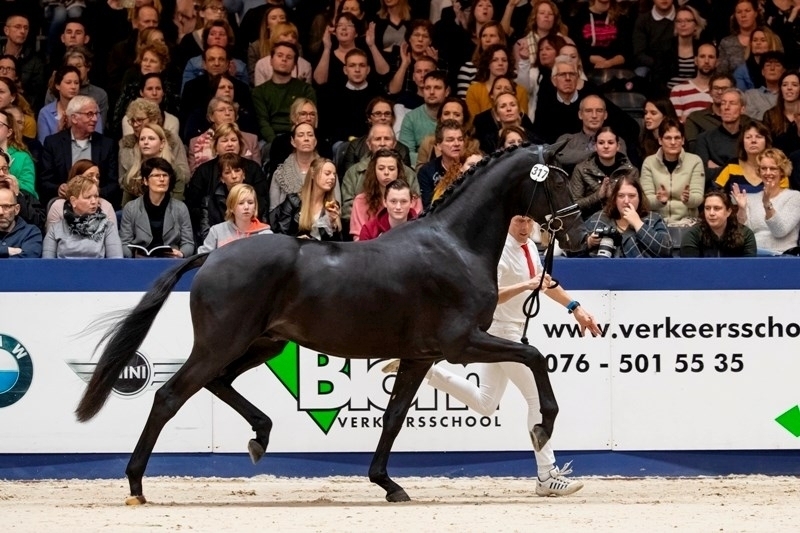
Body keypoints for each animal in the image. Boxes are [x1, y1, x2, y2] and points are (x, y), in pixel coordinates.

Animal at [75, 142, 586, 505]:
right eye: (558, 183)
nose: (580, 235)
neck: (454, 245)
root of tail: (211, 255)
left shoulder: (420, 356)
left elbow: (394, 417)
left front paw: (387, 484)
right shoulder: (461, 343)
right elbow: (534, 356)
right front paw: (543, 427)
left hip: (261, 344)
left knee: (218, 384)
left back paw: (260, 437)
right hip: (222, 343)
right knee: (169, 396)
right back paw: (137, 486)